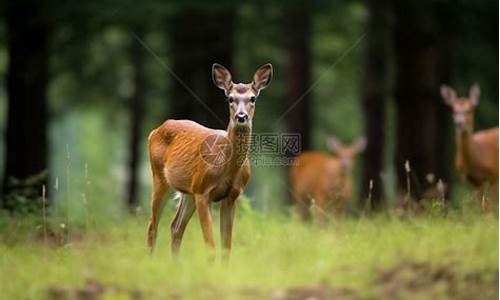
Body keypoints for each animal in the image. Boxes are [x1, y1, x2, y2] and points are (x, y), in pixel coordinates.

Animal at [147, 62, 274, 258]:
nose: (241, 116)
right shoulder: (203, 192)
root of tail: (154, 131)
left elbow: (226, 247)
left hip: (188, 190)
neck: (227, 169)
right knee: (153, 226)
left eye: (253, 98)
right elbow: (211, 247)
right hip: (160, 178)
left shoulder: (231, 196)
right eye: (230, 99)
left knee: (176, 227)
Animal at [440, 83, 498, 212]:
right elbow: (480, 207)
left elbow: (490, 207)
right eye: (454, 110)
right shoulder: (471, 181)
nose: (459, 122)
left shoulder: (494, 174)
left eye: (469, 110)